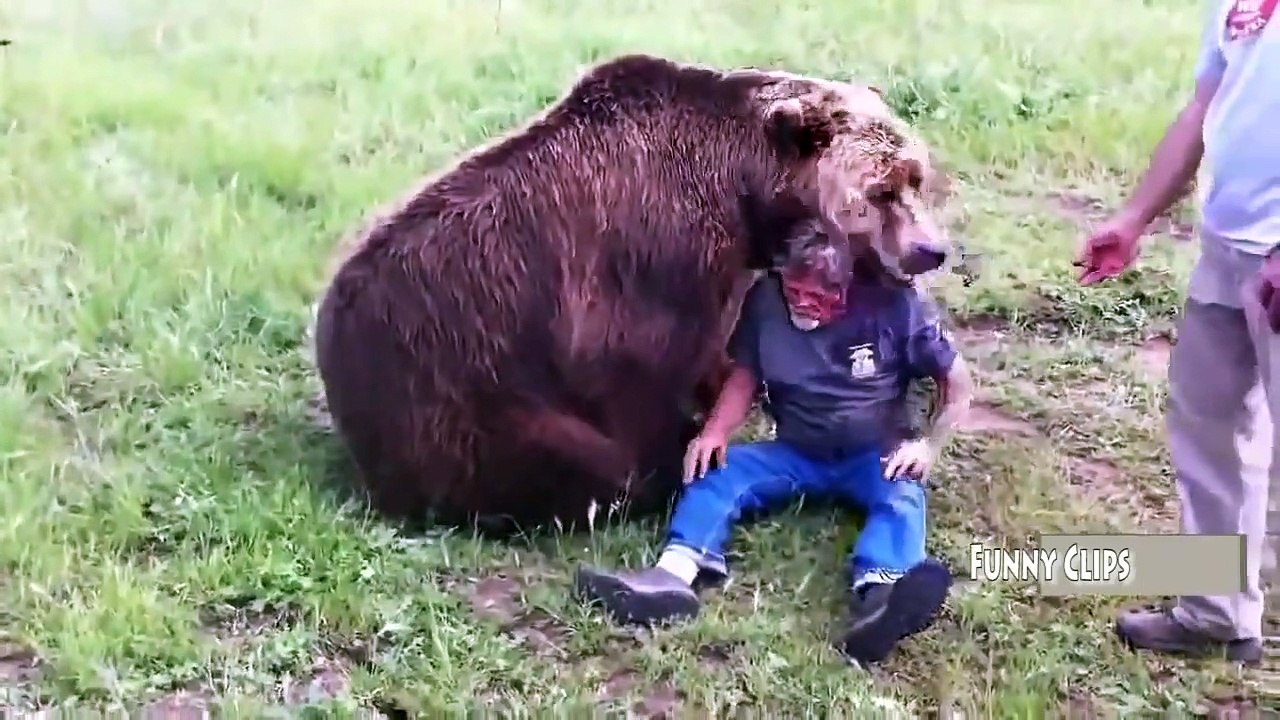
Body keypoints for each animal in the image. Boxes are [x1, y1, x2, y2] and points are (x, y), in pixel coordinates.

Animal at [311, 53, 954, 535]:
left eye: (915, 178)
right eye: (881, 191)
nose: (931, 250)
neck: (743, 194)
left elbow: (719, 351)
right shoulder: (648, 267)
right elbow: (637, 374)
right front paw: (678, 455)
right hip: (459, 389)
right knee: (562, 463)